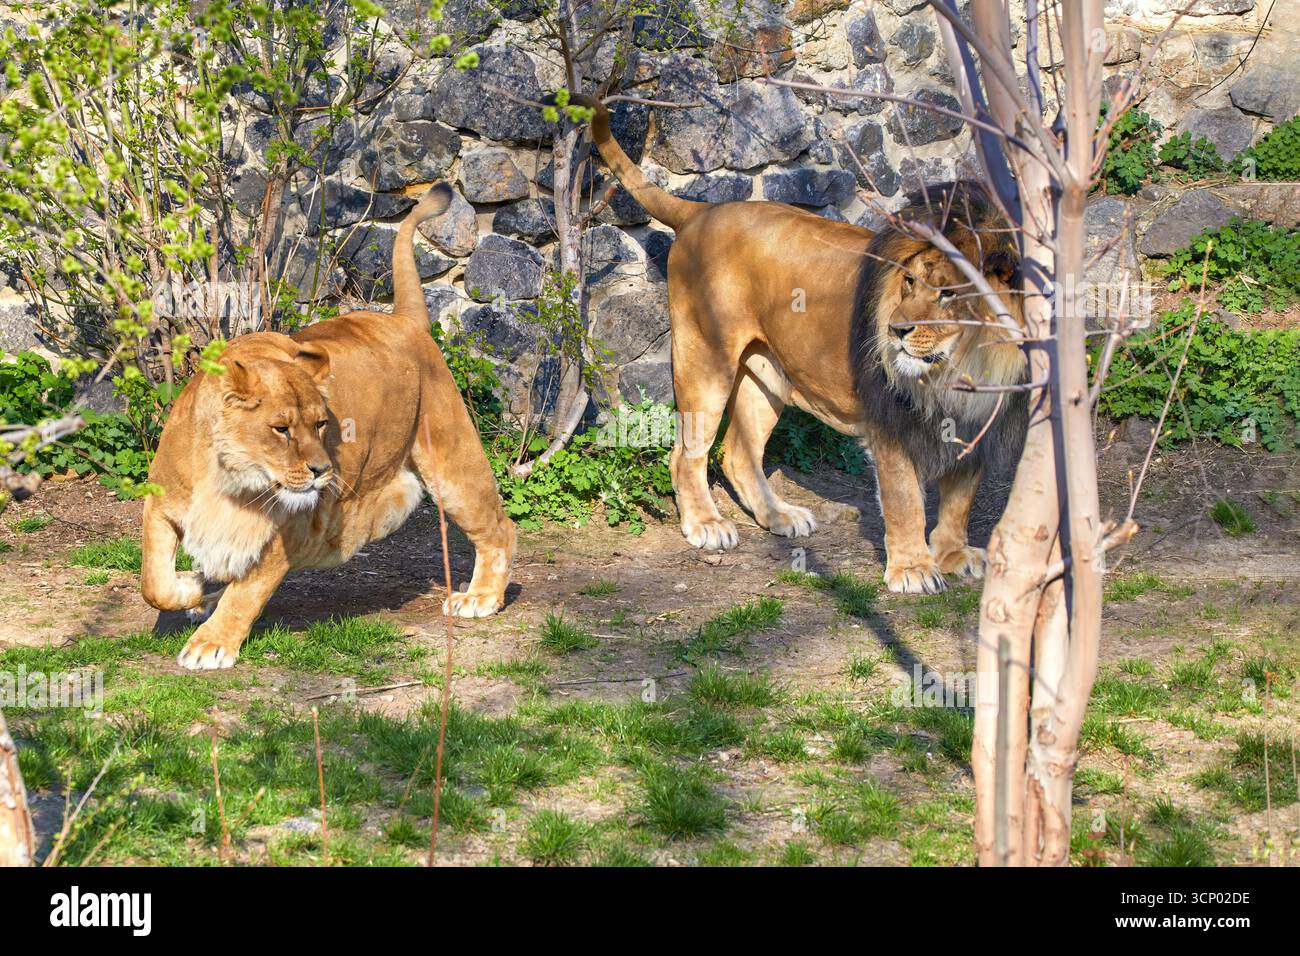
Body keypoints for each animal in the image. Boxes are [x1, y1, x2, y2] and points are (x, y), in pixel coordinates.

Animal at [141, 185, 516, 669]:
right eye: (281, 429)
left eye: (321, 424)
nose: (322, 472)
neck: (230, 480)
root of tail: (405, 318)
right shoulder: (160, 506)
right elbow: (154, 583)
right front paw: (192, 590)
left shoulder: (287, 531)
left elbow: (246, 592)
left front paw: (211, 643)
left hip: (453, 464)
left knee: (499, 528)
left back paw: (480, 598)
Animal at [580, 97, 1027, 592]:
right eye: (909, 282)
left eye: (949, 293)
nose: (896, 330)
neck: (962, 366)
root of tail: (700, 212)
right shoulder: (889, 420)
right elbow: (905, 497)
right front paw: (913, 569)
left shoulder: (980, 420)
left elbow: (960, 499)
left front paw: (952, 555)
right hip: (705, 357)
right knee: (686, 453)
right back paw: (706, 524)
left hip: (768, 372)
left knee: (738, 454)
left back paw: (780, 516)